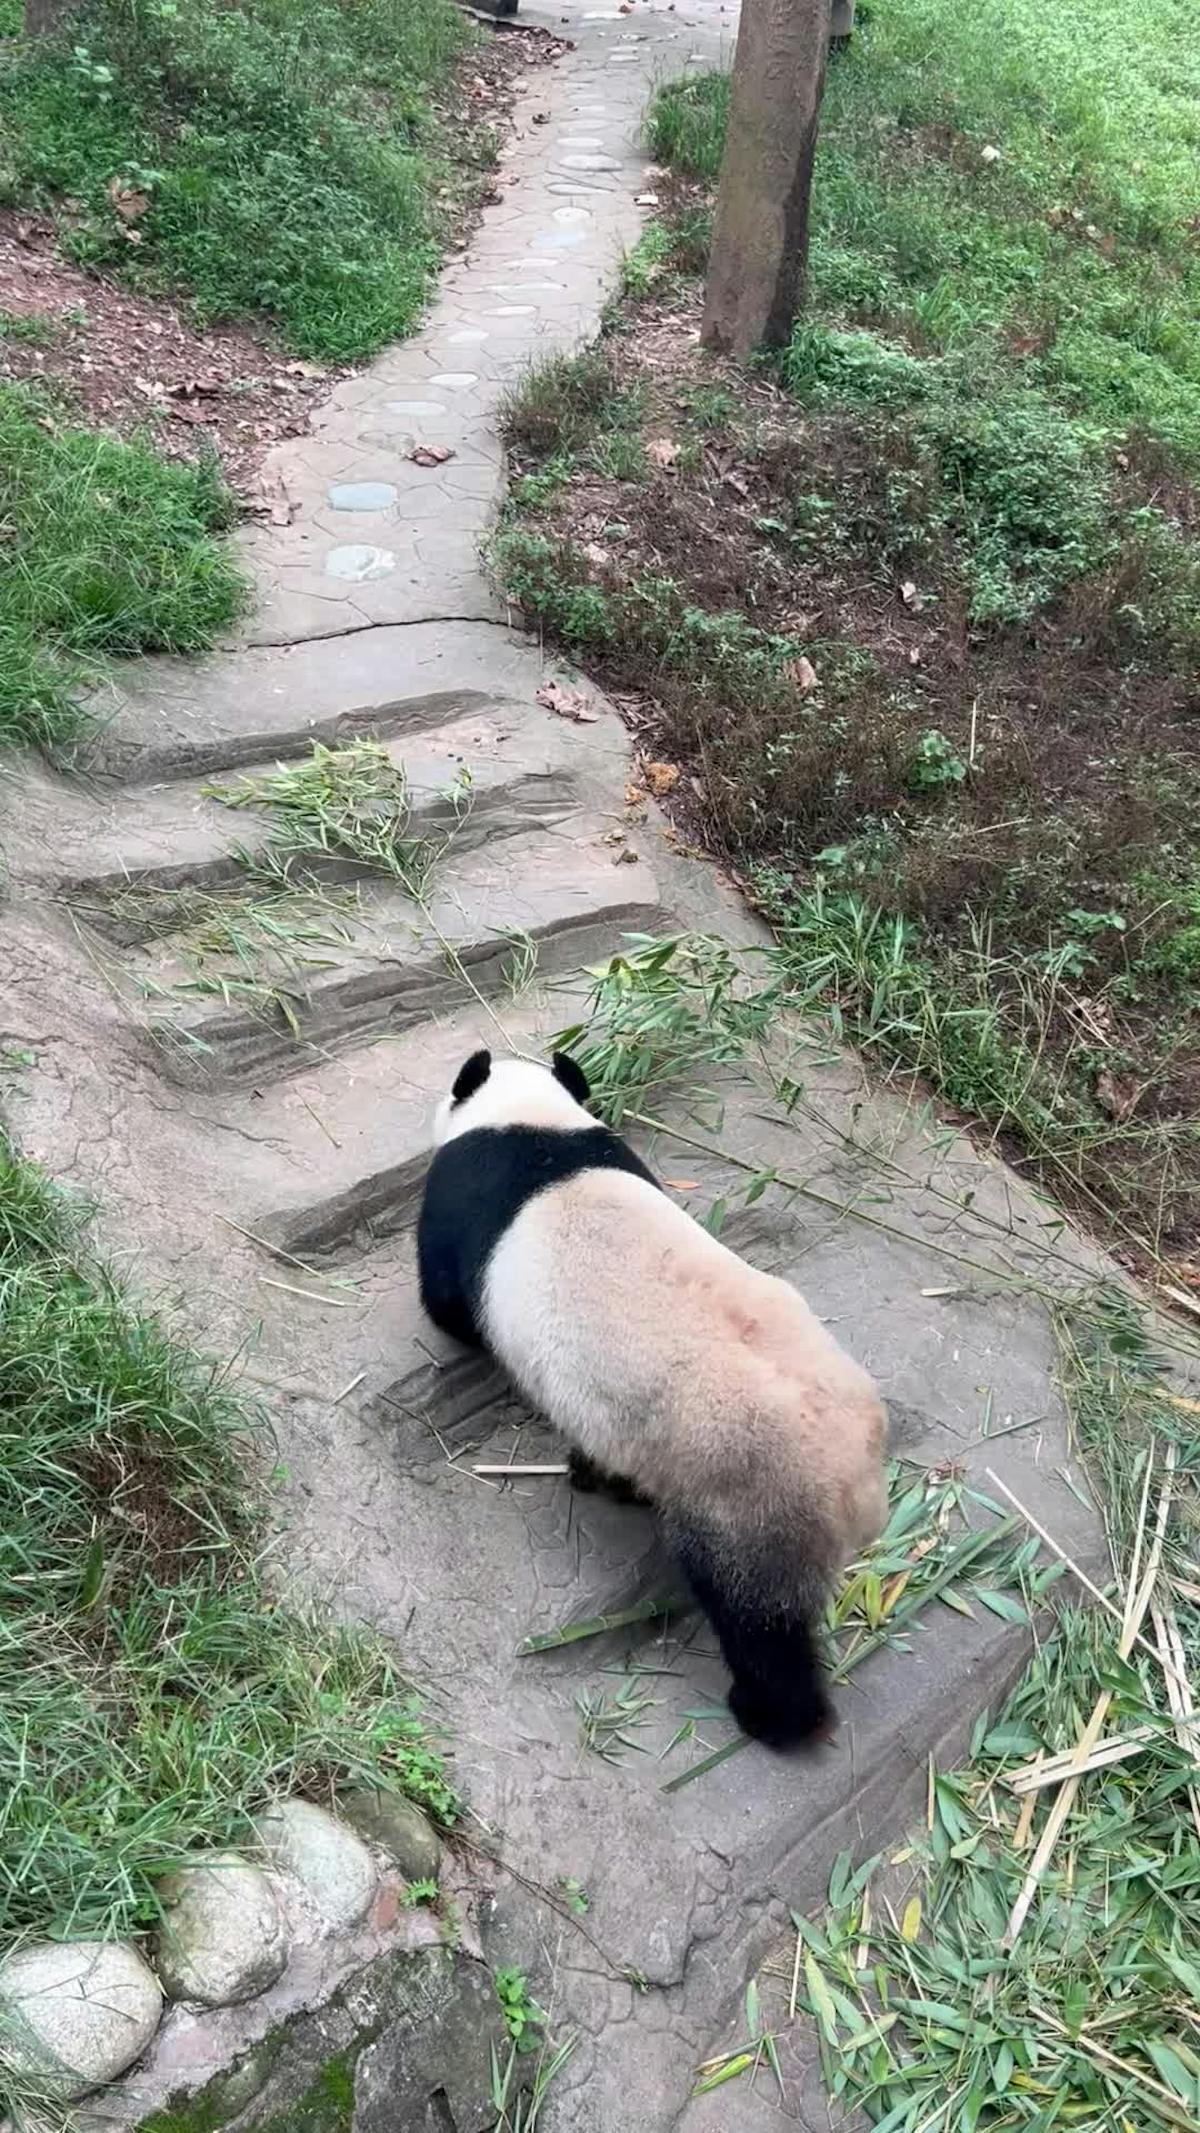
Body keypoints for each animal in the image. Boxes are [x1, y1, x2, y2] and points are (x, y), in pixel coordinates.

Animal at [416, 1047, 888, 1748]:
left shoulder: (463, 1196)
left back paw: (770, 1715)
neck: (532, 1119)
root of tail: (860, 1487)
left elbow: (446, 1294)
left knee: (758, 1619)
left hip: (748, 1503)